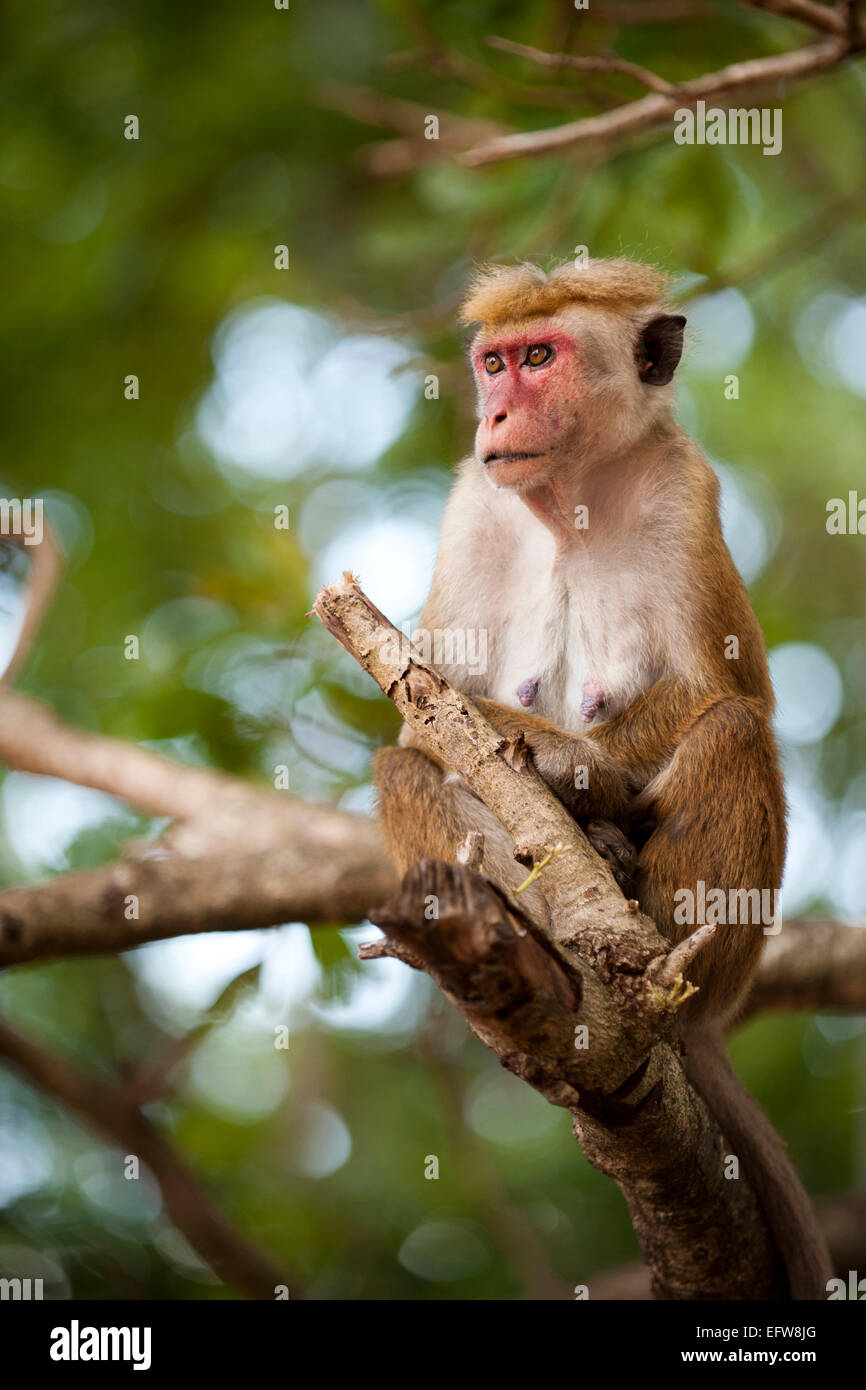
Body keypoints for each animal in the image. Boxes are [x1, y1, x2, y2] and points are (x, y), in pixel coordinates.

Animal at [373, 257, 832, 1301]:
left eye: (542, 358)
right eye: (495, 362)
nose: (497, 411)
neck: (568, 500)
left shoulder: (685, 490)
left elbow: (727, 691)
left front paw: (570, 763)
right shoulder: (473, 506)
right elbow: (423, 714)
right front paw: (534, 756)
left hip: (718, 961)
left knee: (734, 731)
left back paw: (639, 917)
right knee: (399, 765)